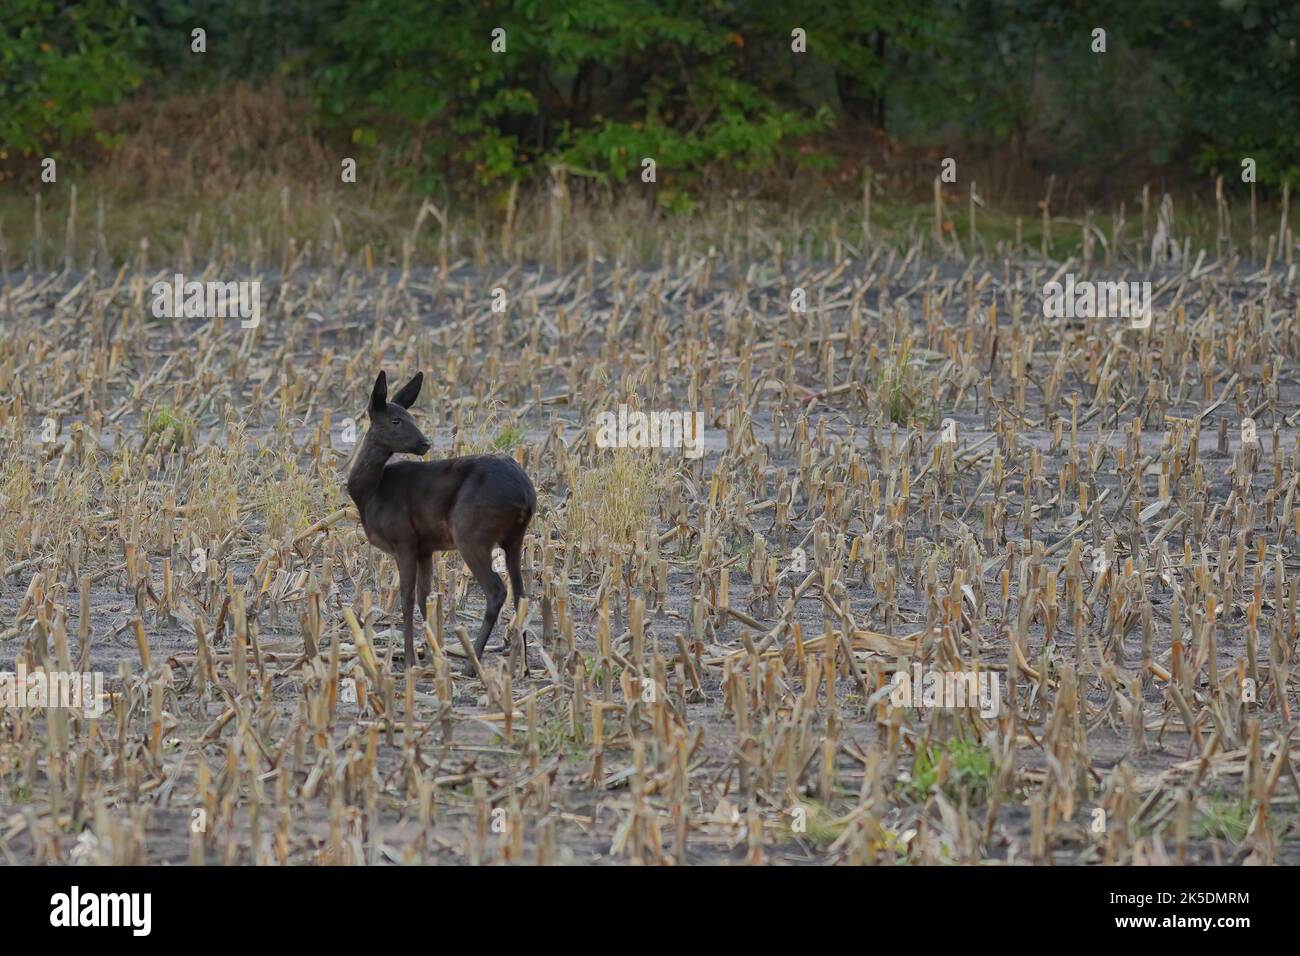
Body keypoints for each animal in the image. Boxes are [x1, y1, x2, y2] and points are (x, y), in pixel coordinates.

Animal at [347, 370, 536, 676]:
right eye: (397, 420)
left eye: (411, 418)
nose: (425, 443)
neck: (370, 493)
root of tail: (526, 495)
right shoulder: (425, 547)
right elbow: (425, 596)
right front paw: (430, 653)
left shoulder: (403, 540)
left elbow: (407, 598)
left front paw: (410, 660)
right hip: (514, 538)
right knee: (522, 595)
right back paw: (524, 666)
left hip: (471, 532)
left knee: (497, 590)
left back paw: (473, 664)